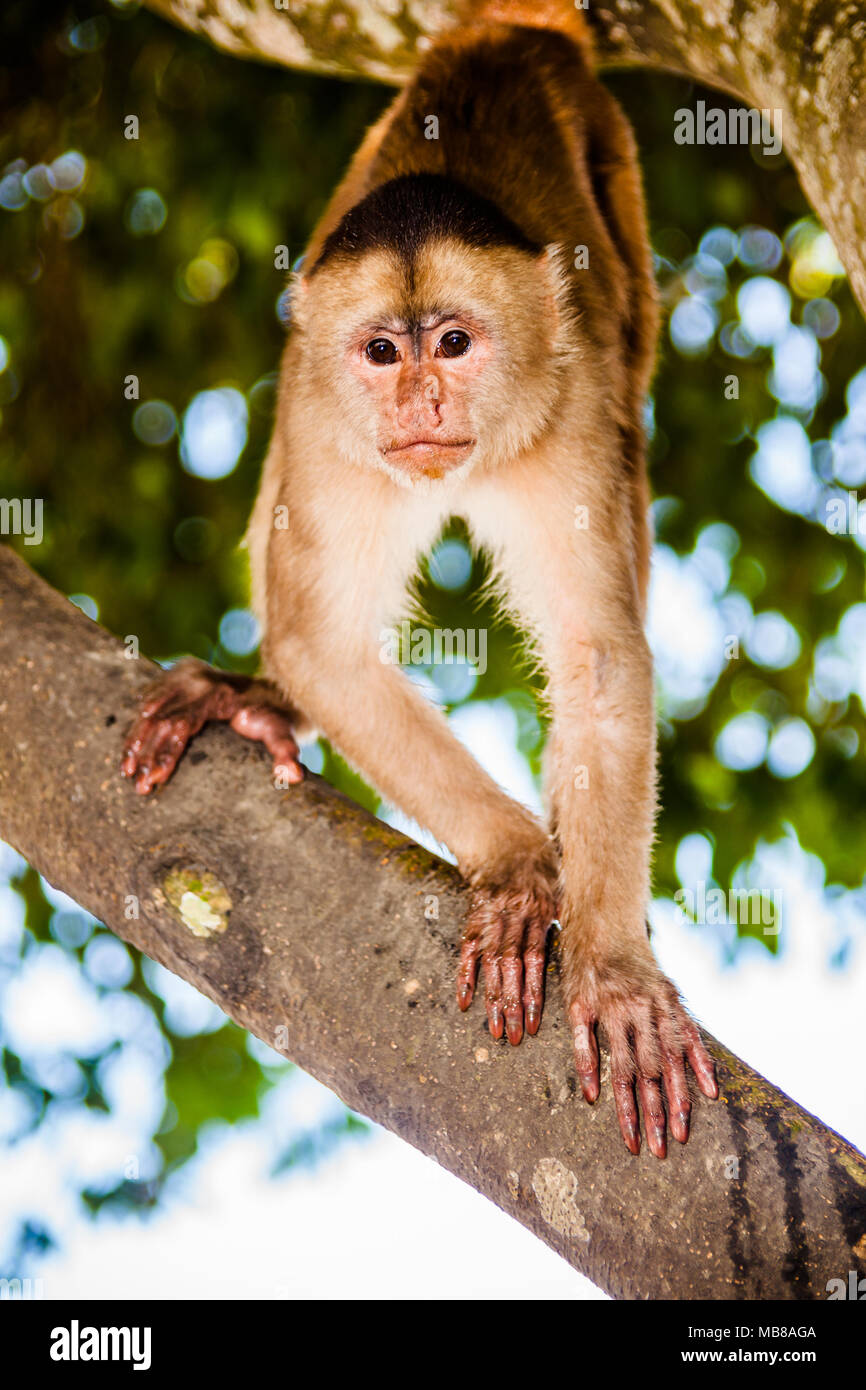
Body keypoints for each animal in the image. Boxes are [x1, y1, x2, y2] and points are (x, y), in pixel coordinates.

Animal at [121, 0, 718, 1158]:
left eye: (452, 341)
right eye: (383, 354)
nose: (420, 403)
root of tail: (507, 33)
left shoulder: (568, 404)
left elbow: (596, 661)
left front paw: (612, 963)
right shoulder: (326, 413)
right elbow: (321, 644)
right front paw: (516, 864)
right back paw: (254, 699)